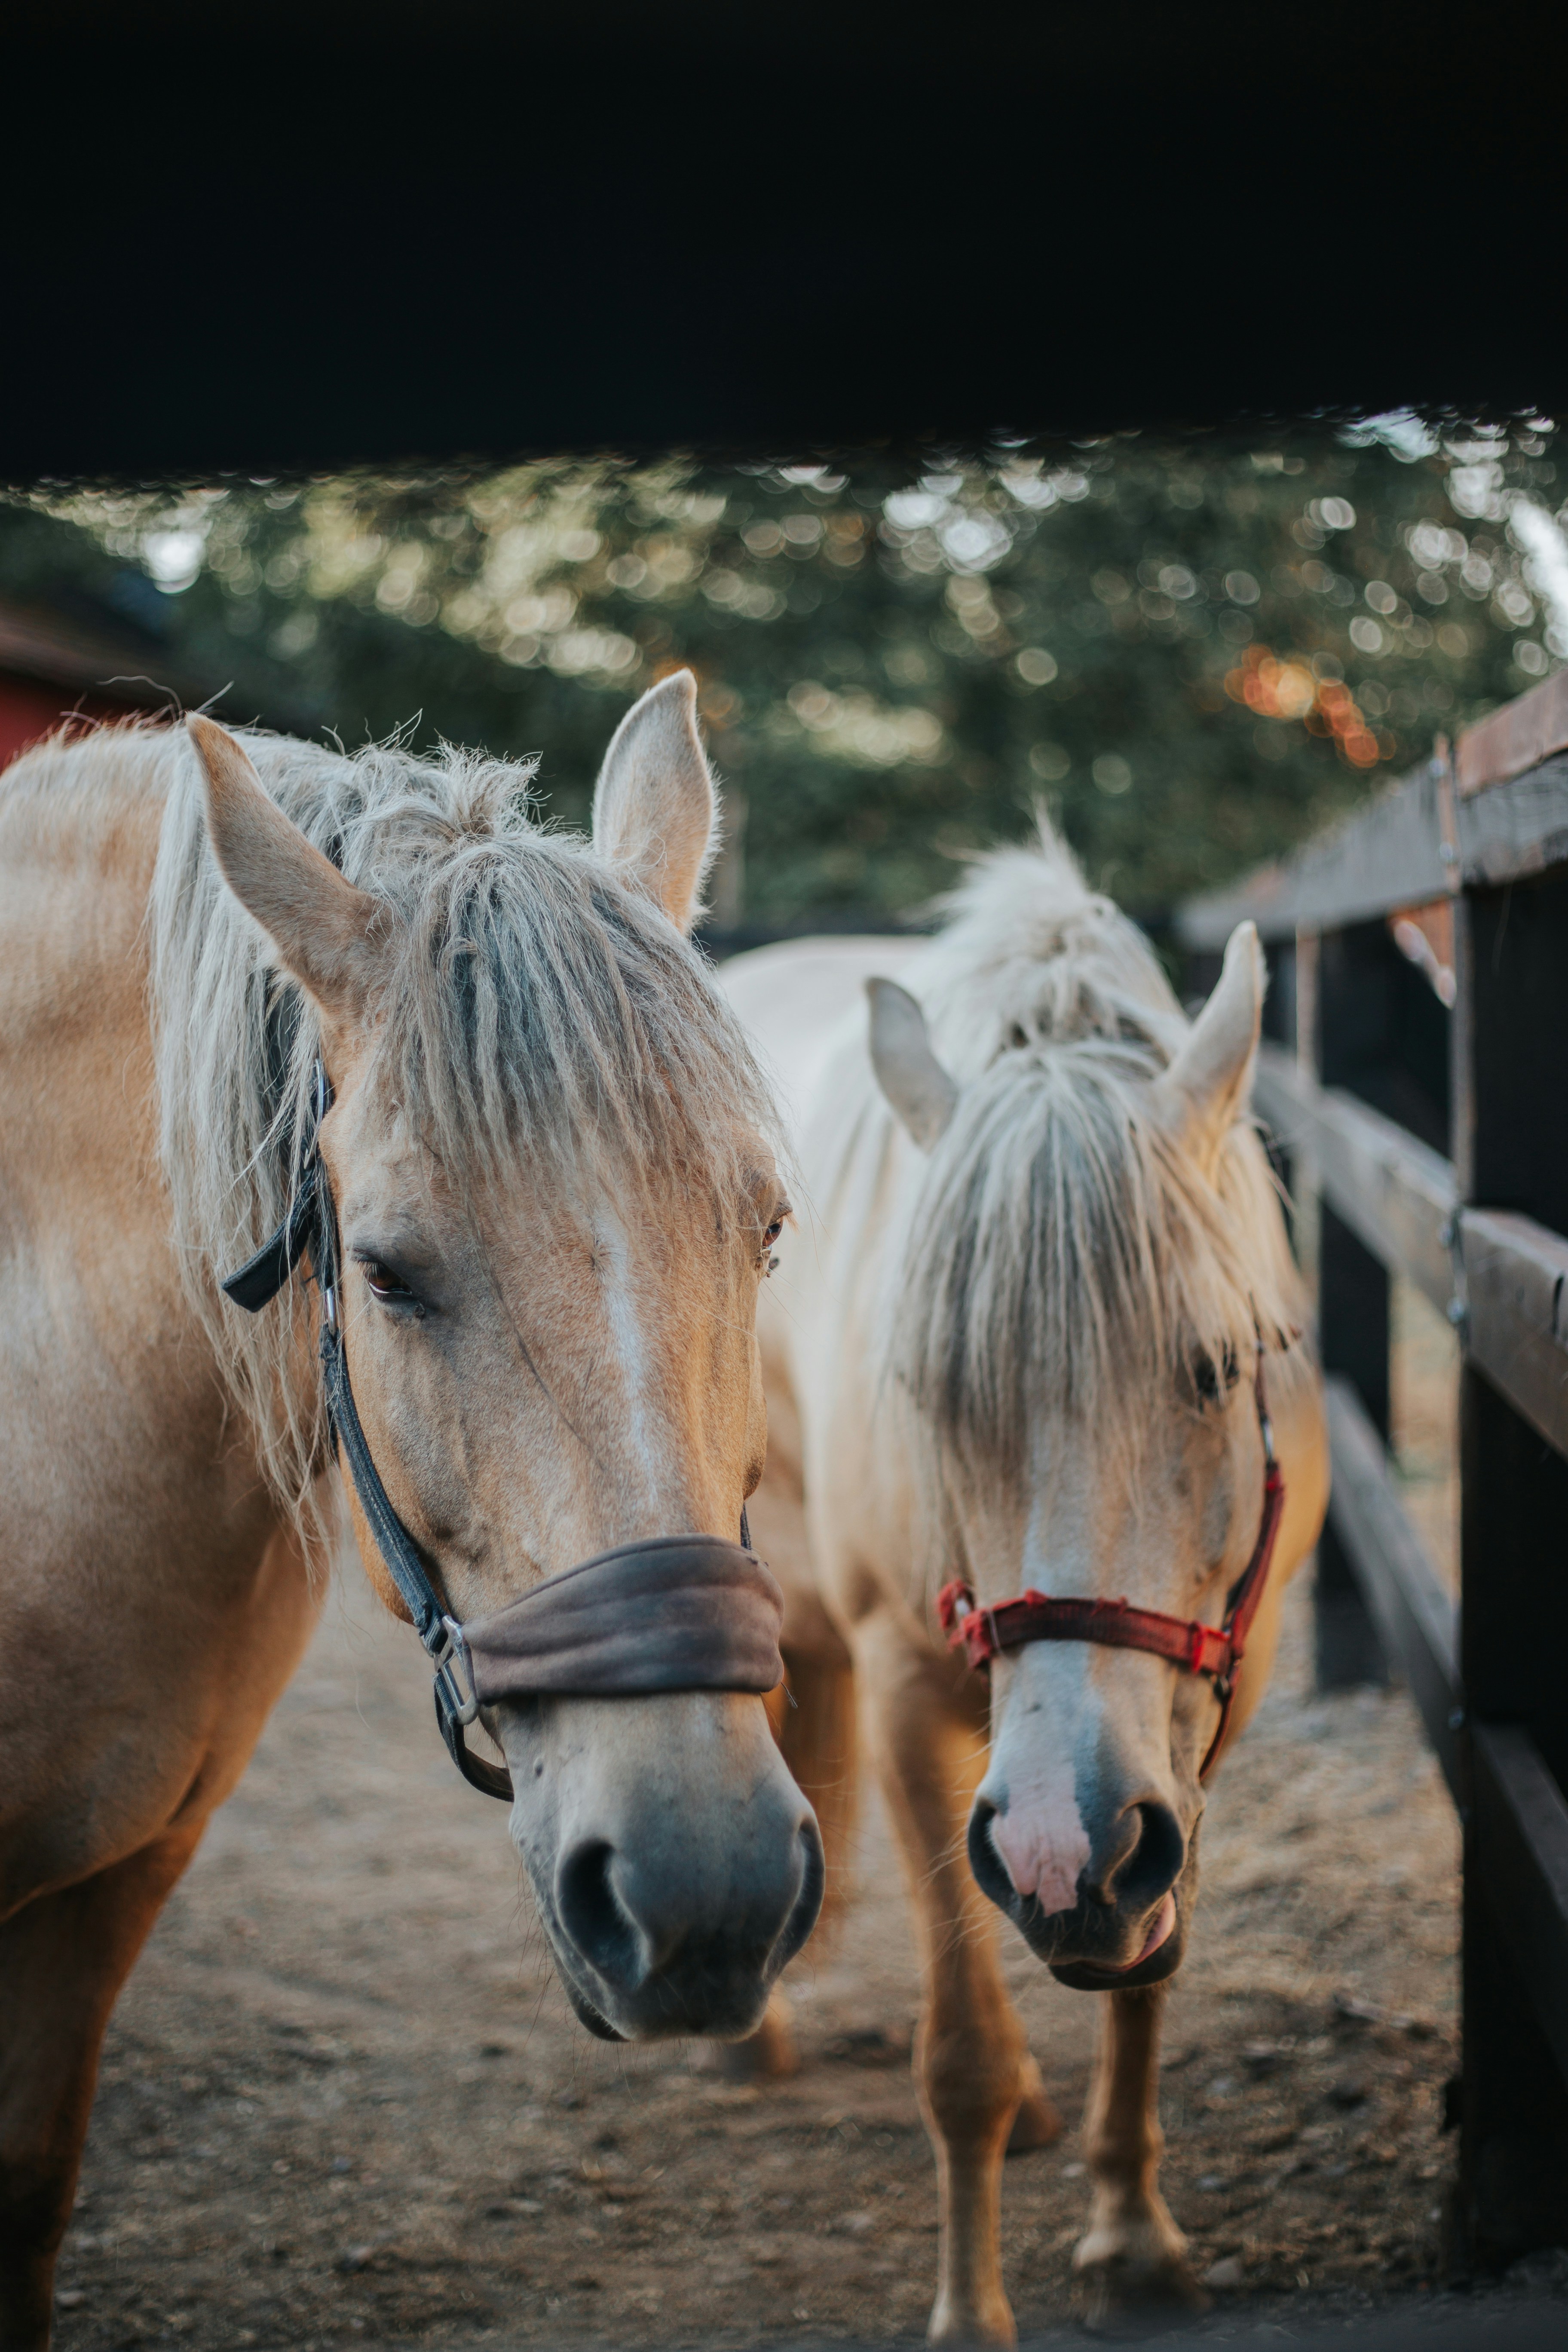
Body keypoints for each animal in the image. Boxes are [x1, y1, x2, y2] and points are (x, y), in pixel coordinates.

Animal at [721, 827, 1329, 2344]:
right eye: (931, 1389)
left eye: (1215, 1369)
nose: (1068, 1847)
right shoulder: (900, 1698)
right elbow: (961, 2053)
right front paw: (971, 2305)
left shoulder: (1212, 1707)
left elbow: (1147, 1977)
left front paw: (1132, 2232)